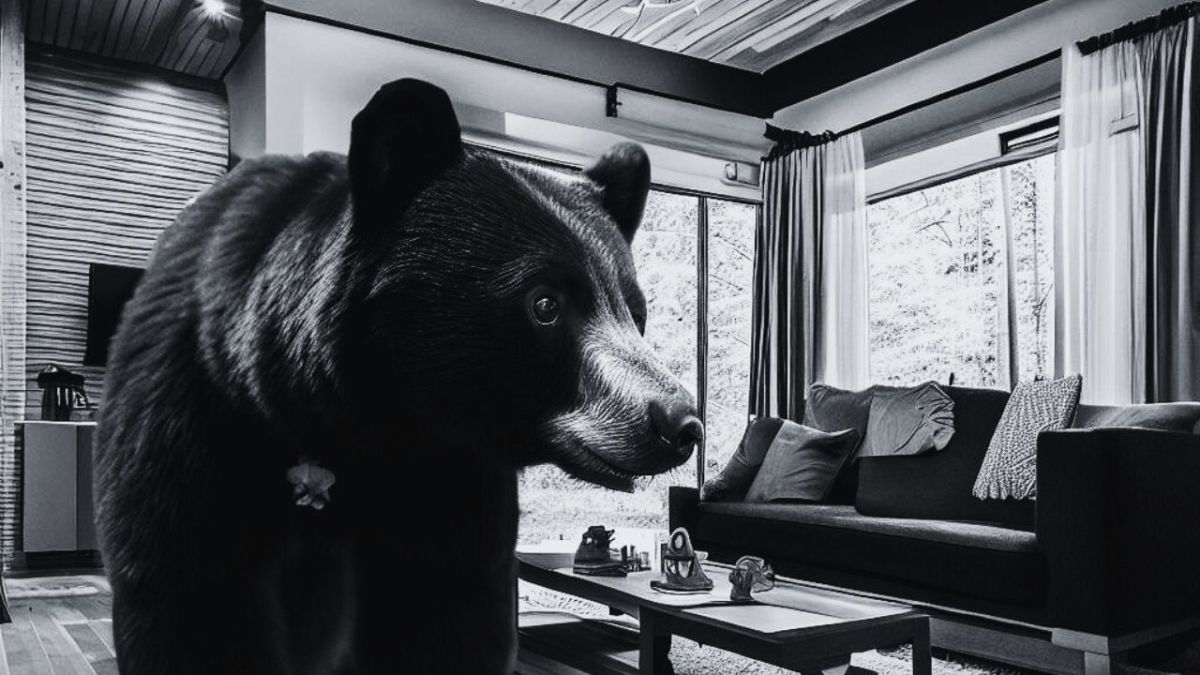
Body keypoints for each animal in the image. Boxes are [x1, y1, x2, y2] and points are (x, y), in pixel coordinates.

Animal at [94, 78, 702, 675]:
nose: (681, 424)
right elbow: (190, 602)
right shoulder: (191, 436)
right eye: (545, 304)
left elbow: (443, 613)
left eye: (636, 313)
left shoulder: (450, 483)